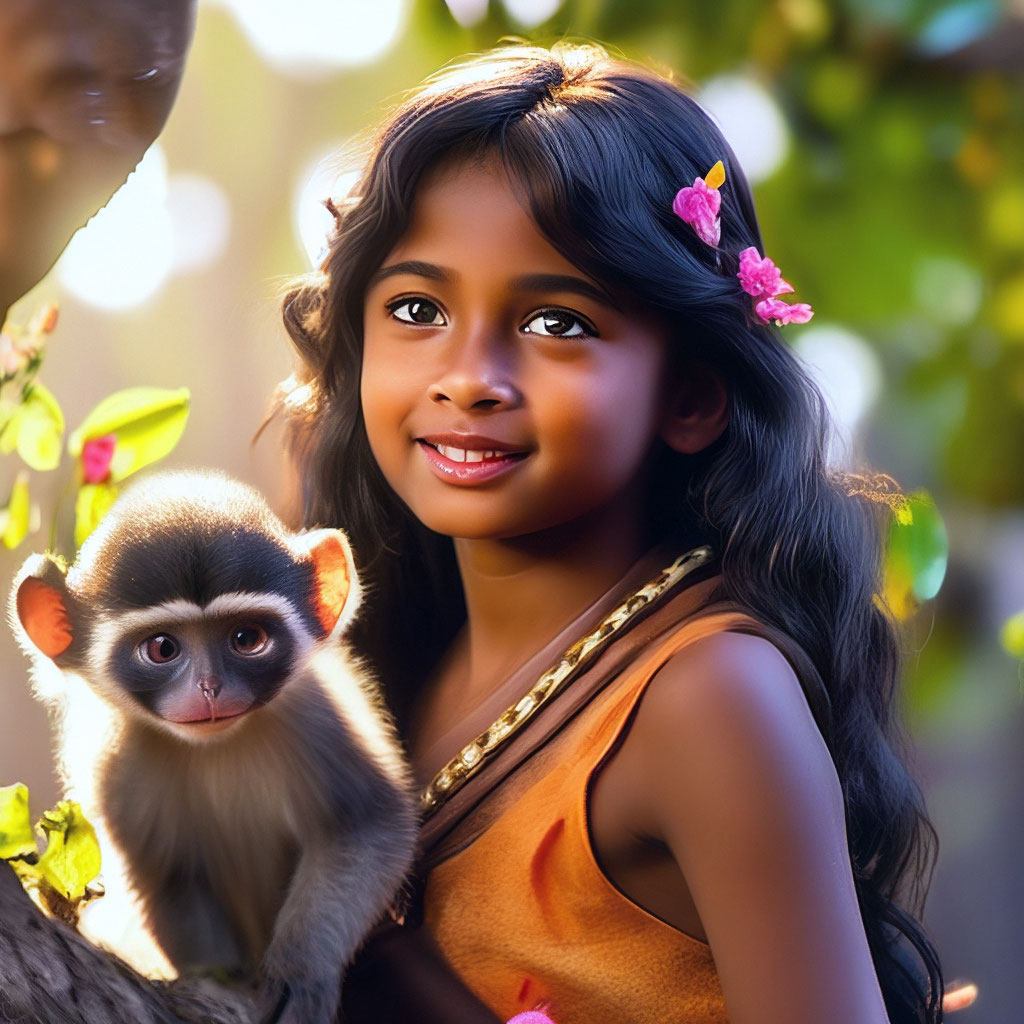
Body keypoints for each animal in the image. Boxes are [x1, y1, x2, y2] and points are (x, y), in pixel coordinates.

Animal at [9, 470, 419, 1024]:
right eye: (162, 648)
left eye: (247, 638)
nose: (209, 687)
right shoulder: (117, 765)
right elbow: (171, 881)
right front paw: (228, 984)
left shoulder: (317, 713)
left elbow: (364, 828)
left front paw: (300, 975)